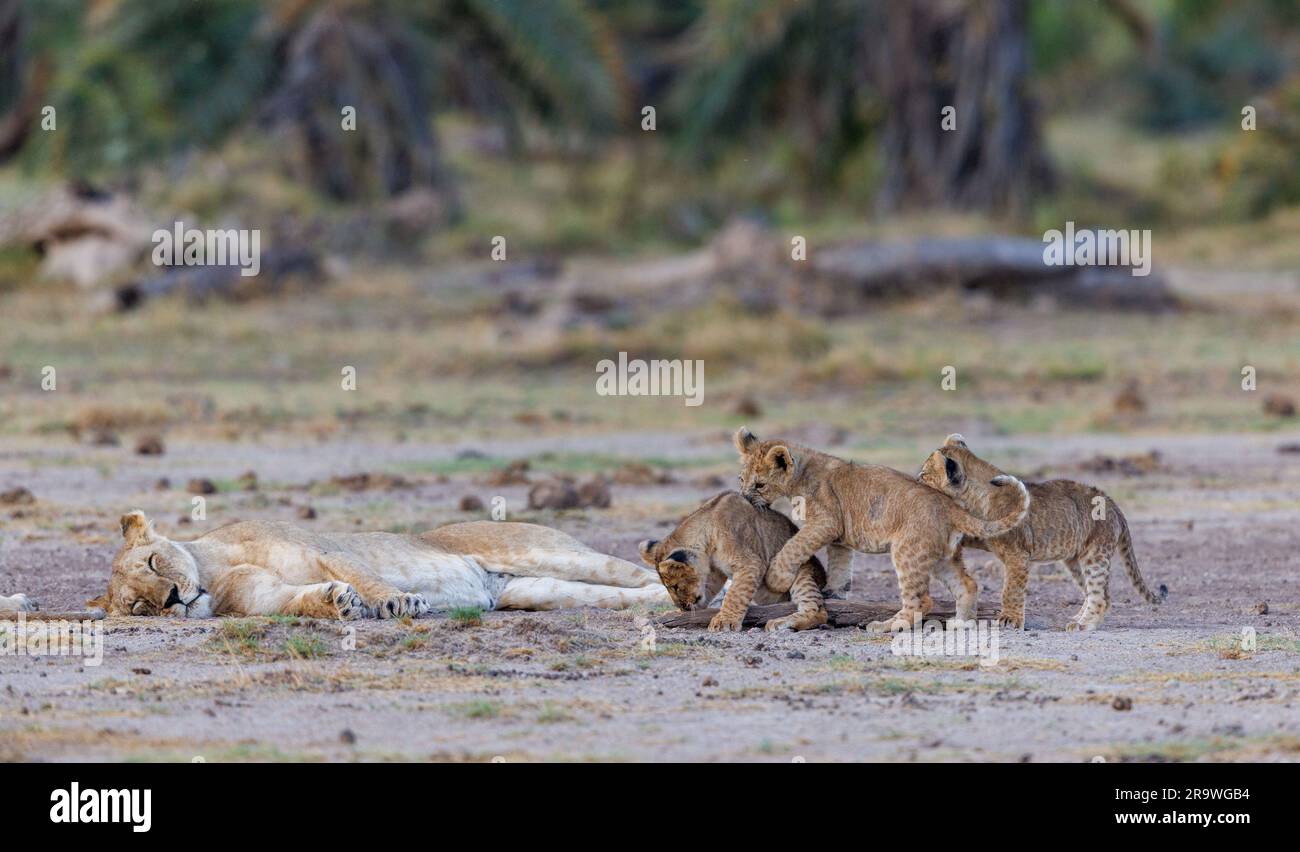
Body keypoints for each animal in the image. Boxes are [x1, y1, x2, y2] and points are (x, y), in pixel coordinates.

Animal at [638, 491, 829, 632]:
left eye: (676, 587)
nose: (682, 607)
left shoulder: (750, 563)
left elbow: (735, 595)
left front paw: (724, 621)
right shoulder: (714, 572)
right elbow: (708, 590)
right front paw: (678, 613)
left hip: (801, 571)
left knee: (819, 612)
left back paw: (779, 622)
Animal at [733, 427, 1030, 632]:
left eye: (759, 485)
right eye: (740, 478)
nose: (745, 498)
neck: (800, 475)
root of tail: (949, 505)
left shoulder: (825, 521)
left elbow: (793, 547)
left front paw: (777, 578)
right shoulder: (838, 535)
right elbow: (841, 564)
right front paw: (834, 593)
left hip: (907, 551)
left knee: (921, 601)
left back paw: (886, 626)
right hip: (942, 557)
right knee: (968, 585)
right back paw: (962, 623)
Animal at [917, 434, 1166, 631]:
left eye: (923, 475)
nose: (916, 482)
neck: (974, 497)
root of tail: (1113, 502)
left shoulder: (1017, 555)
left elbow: (1012, 589)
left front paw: (1009, 620)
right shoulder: (984, 531)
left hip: (1095, 554)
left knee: (1100, 596)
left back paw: (1083, 625)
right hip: (1075, 561)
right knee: (1099, 593)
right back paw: (1078, 617)